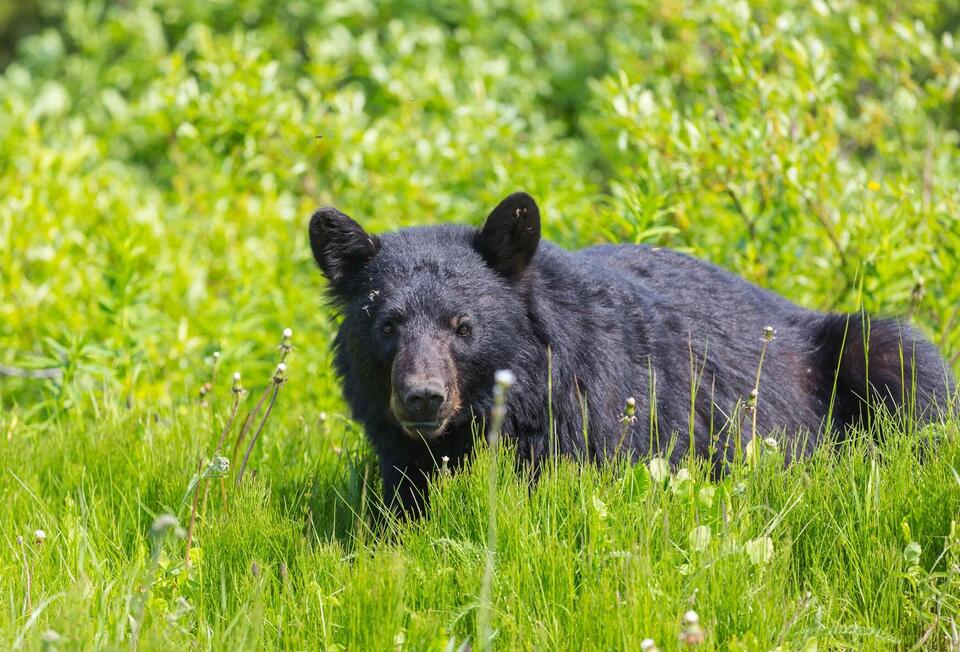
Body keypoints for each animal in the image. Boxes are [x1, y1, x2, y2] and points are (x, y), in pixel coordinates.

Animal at [309, 191, 955, 516]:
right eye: (387, 325)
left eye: (462, 326)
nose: (423, 397)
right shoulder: (401, 450)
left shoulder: (595, 418)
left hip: (859, 349)